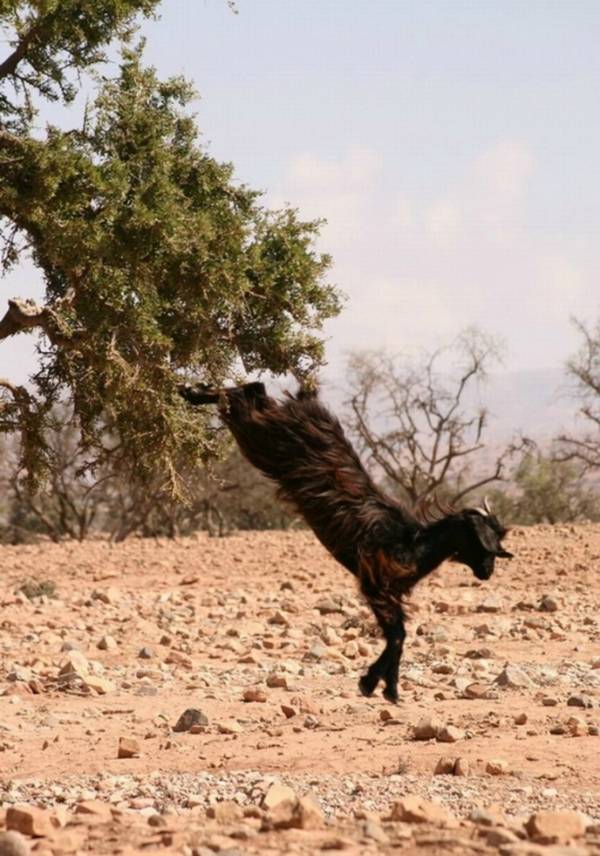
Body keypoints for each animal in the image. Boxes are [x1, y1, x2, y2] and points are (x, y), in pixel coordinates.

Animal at [180, 381, 513, 703]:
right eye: (484, 542)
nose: (488, 572)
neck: (414, 544)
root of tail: (304, 407)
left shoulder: (390, 593)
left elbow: (400, 635)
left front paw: (387, 687)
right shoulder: (375, 585)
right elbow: (397, 635)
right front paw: (374, 684)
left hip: (262, 437)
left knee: (255, 391)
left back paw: (193, 391)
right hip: (260, 437)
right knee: (246, 393)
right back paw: (193, 393)